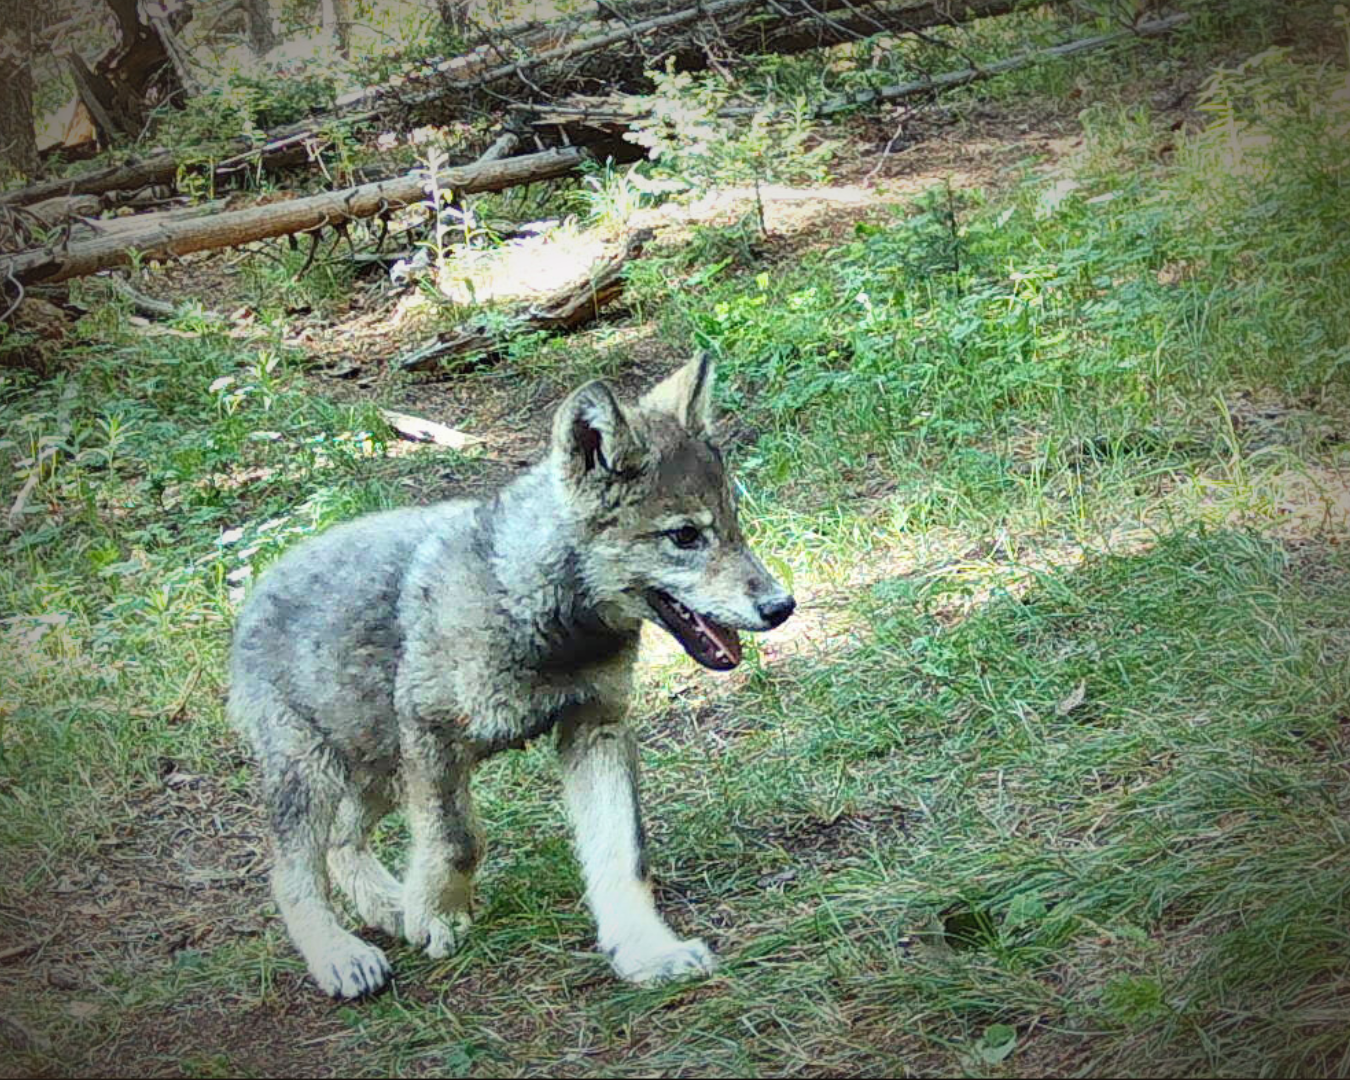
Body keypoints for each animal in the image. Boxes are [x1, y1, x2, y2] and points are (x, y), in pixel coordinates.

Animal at [227, 355, 795, 998]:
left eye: (735, 525)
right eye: (685, 536)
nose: (782, 606)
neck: (528, 605)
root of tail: (258, 583)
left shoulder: (595, 727)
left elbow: (623, 853)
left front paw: (646, 952)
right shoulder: (433, 734)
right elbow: (458, 841)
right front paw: (436, 915)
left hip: (378, 769)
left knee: (344, 843)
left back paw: (390, 907)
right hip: (319, 771)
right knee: (291, 871)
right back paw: (339, 954)